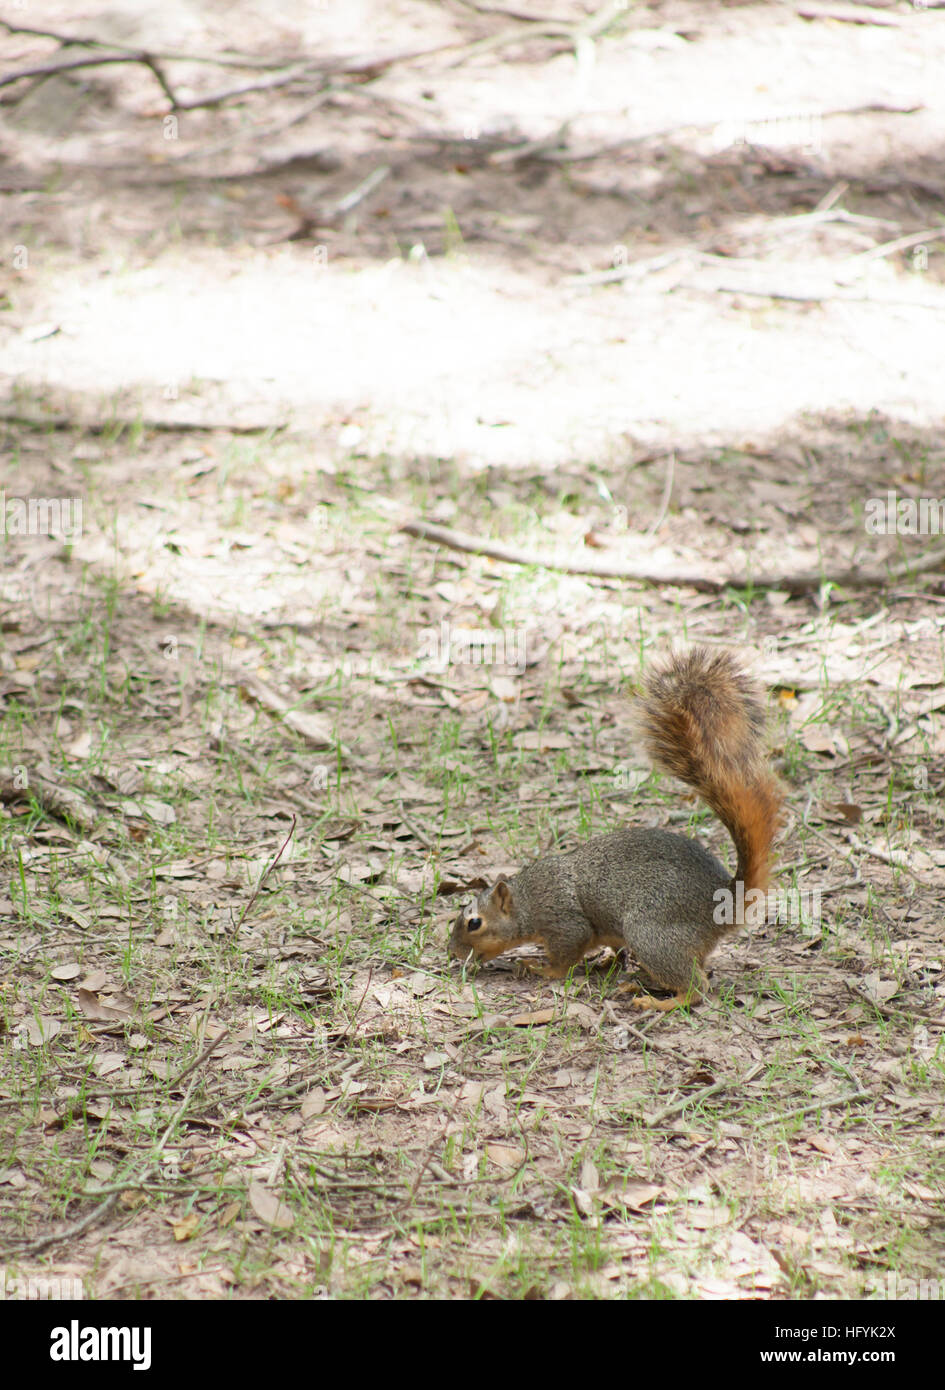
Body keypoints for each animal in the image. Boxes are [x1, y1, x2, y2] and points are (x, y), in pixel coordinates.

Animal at [450, 647, 782, 1010]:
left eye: (475, 923)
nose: (452, 952)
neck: (526, 900)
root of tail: (724, 902)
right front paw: (605, 964)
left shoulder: (565, 924)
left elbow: (564, 958)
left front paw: (539, 968)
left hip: (651, 933)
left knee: (696, 988)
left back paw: (658, 1002)